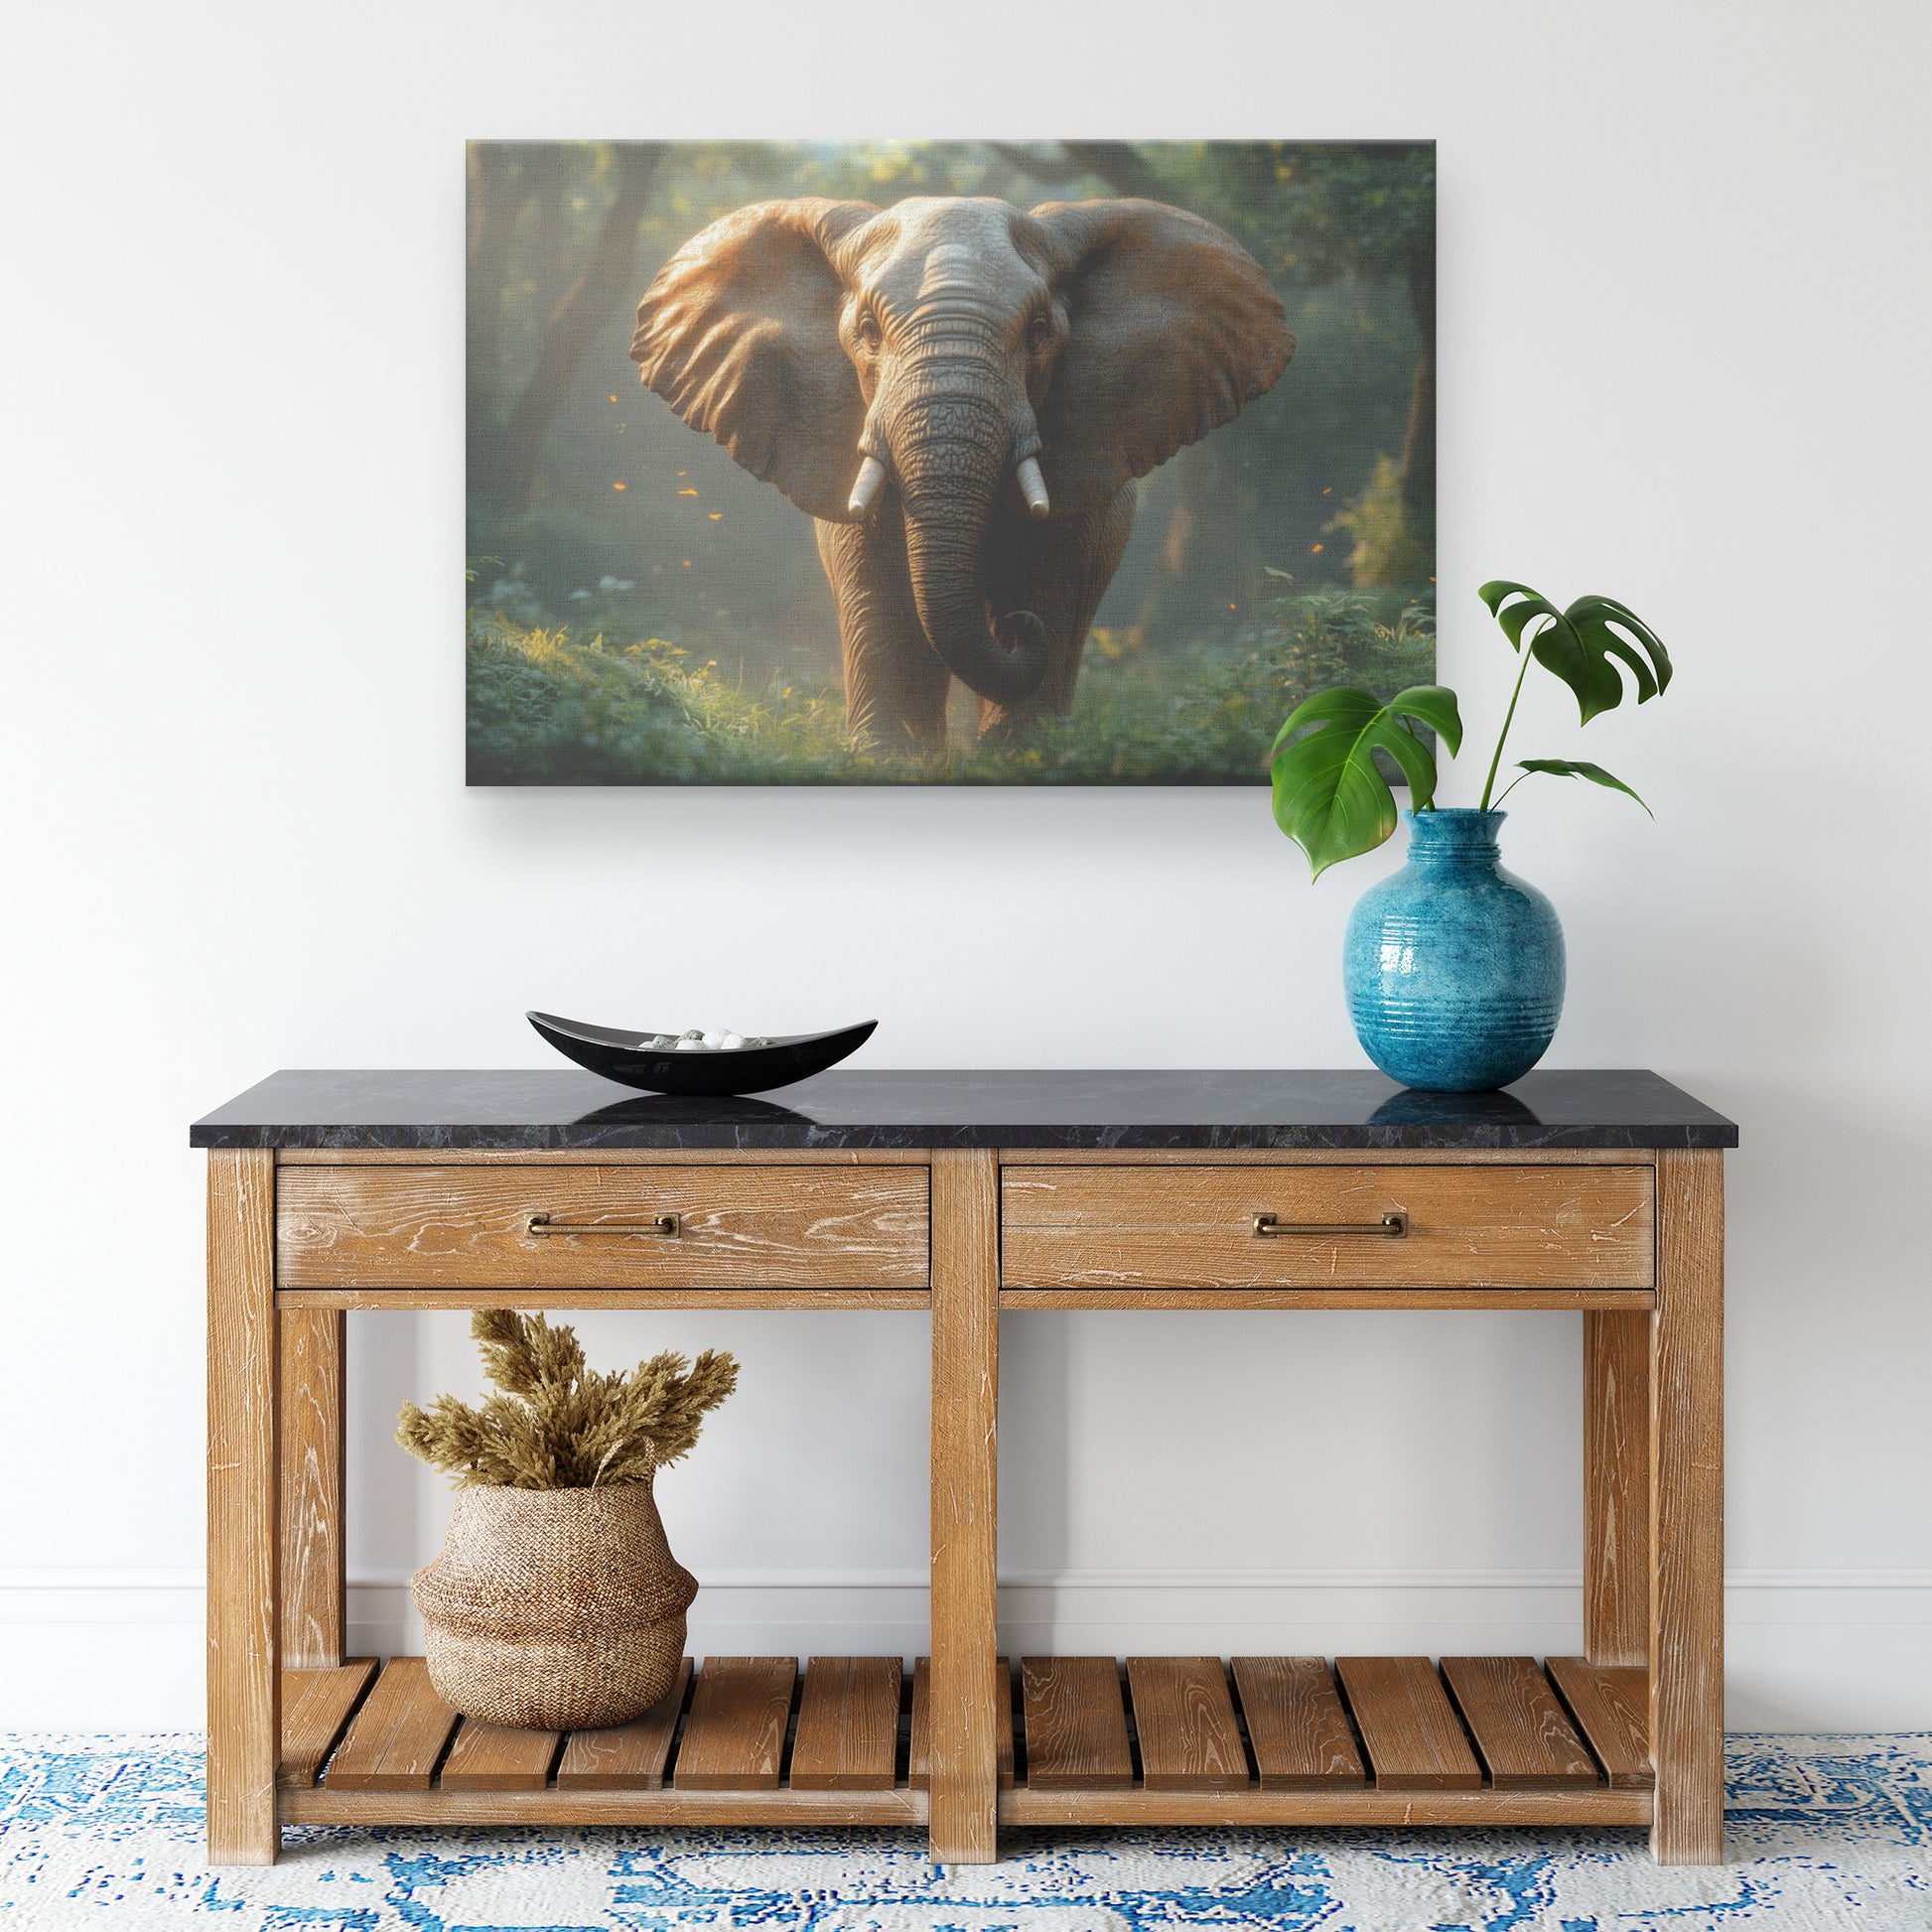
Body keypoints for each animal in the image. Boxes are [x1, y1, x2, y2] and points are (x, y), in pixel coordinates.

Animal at [630, 195, 1294, 751]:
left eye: (1038, 333)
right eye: (868, 332)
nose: (1018, 632)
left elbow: (1050, 580)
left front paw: (1022, 757)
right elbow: (884, 593)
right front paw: (893, 761)